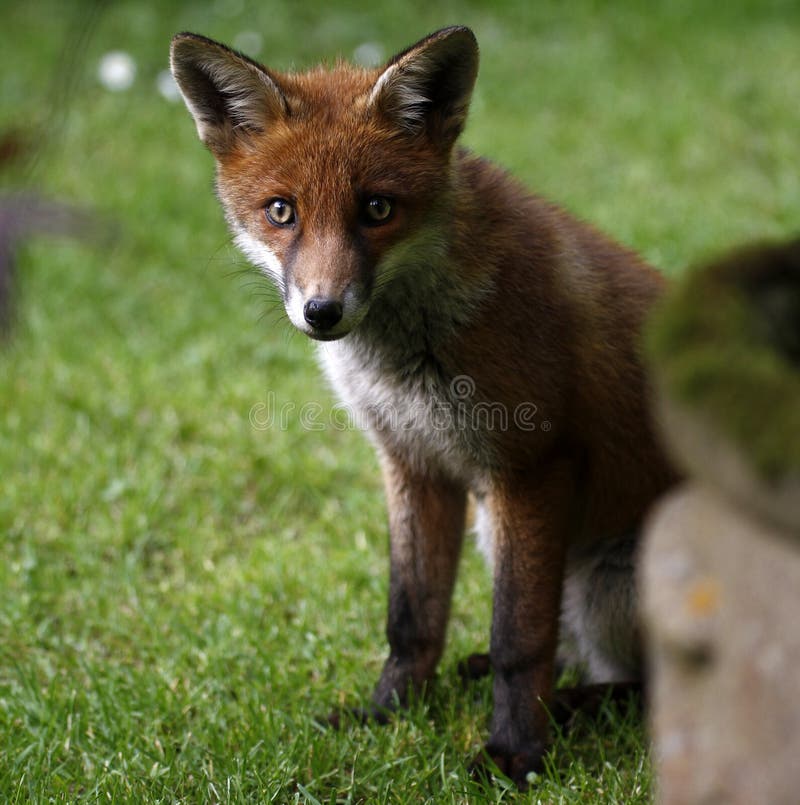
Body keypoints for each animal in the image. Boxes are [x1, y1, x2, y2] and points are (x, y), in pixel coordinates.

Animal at [170, 26, 678, 786]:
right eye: (282, 211)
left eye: (377, 209)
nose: (322, 311)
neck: (407, 360)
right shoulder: (414, 463)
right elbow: (411, 618)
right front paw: (388, 713)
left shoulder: (527, 470)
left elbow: (518, 638)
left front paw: (514, 754)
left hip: (610, 576)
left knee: (647, 686)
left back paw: (571, 706)